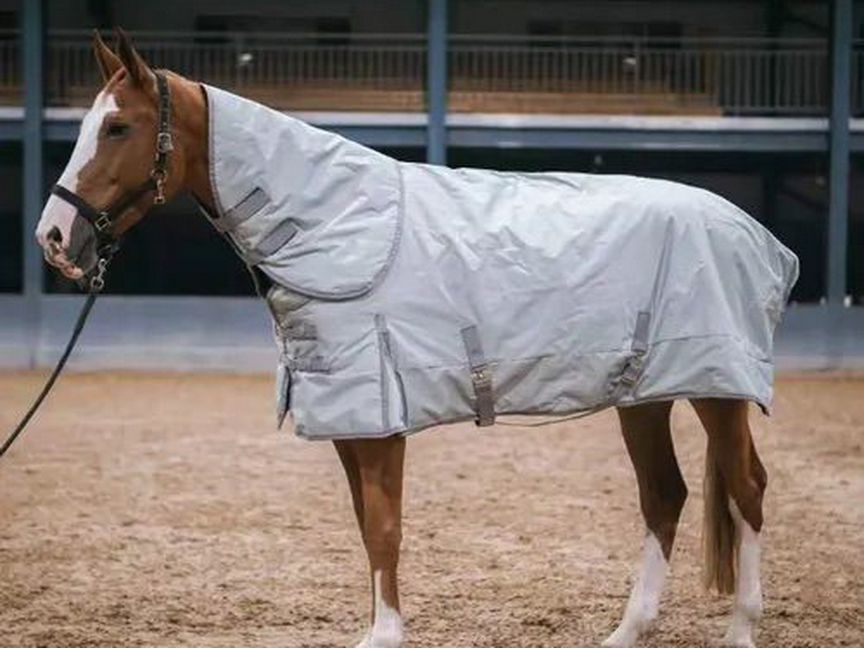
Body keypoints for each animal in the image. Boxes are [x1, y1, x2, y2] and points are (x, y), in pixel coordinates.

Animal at [35, 29, 787, 648]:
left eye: (119, 126)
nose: (54, 238)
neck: (338, 225)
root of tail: (755, 235)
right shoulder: (349, 419)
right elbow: (367, 524)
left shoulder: (379, 418)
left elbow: (385, 525)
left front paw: (386, 634)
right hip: (646, 395)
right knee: (665, 496)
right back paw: (627, 632)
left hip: (719, 391)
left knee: (747, 488)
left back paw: (741, 630)